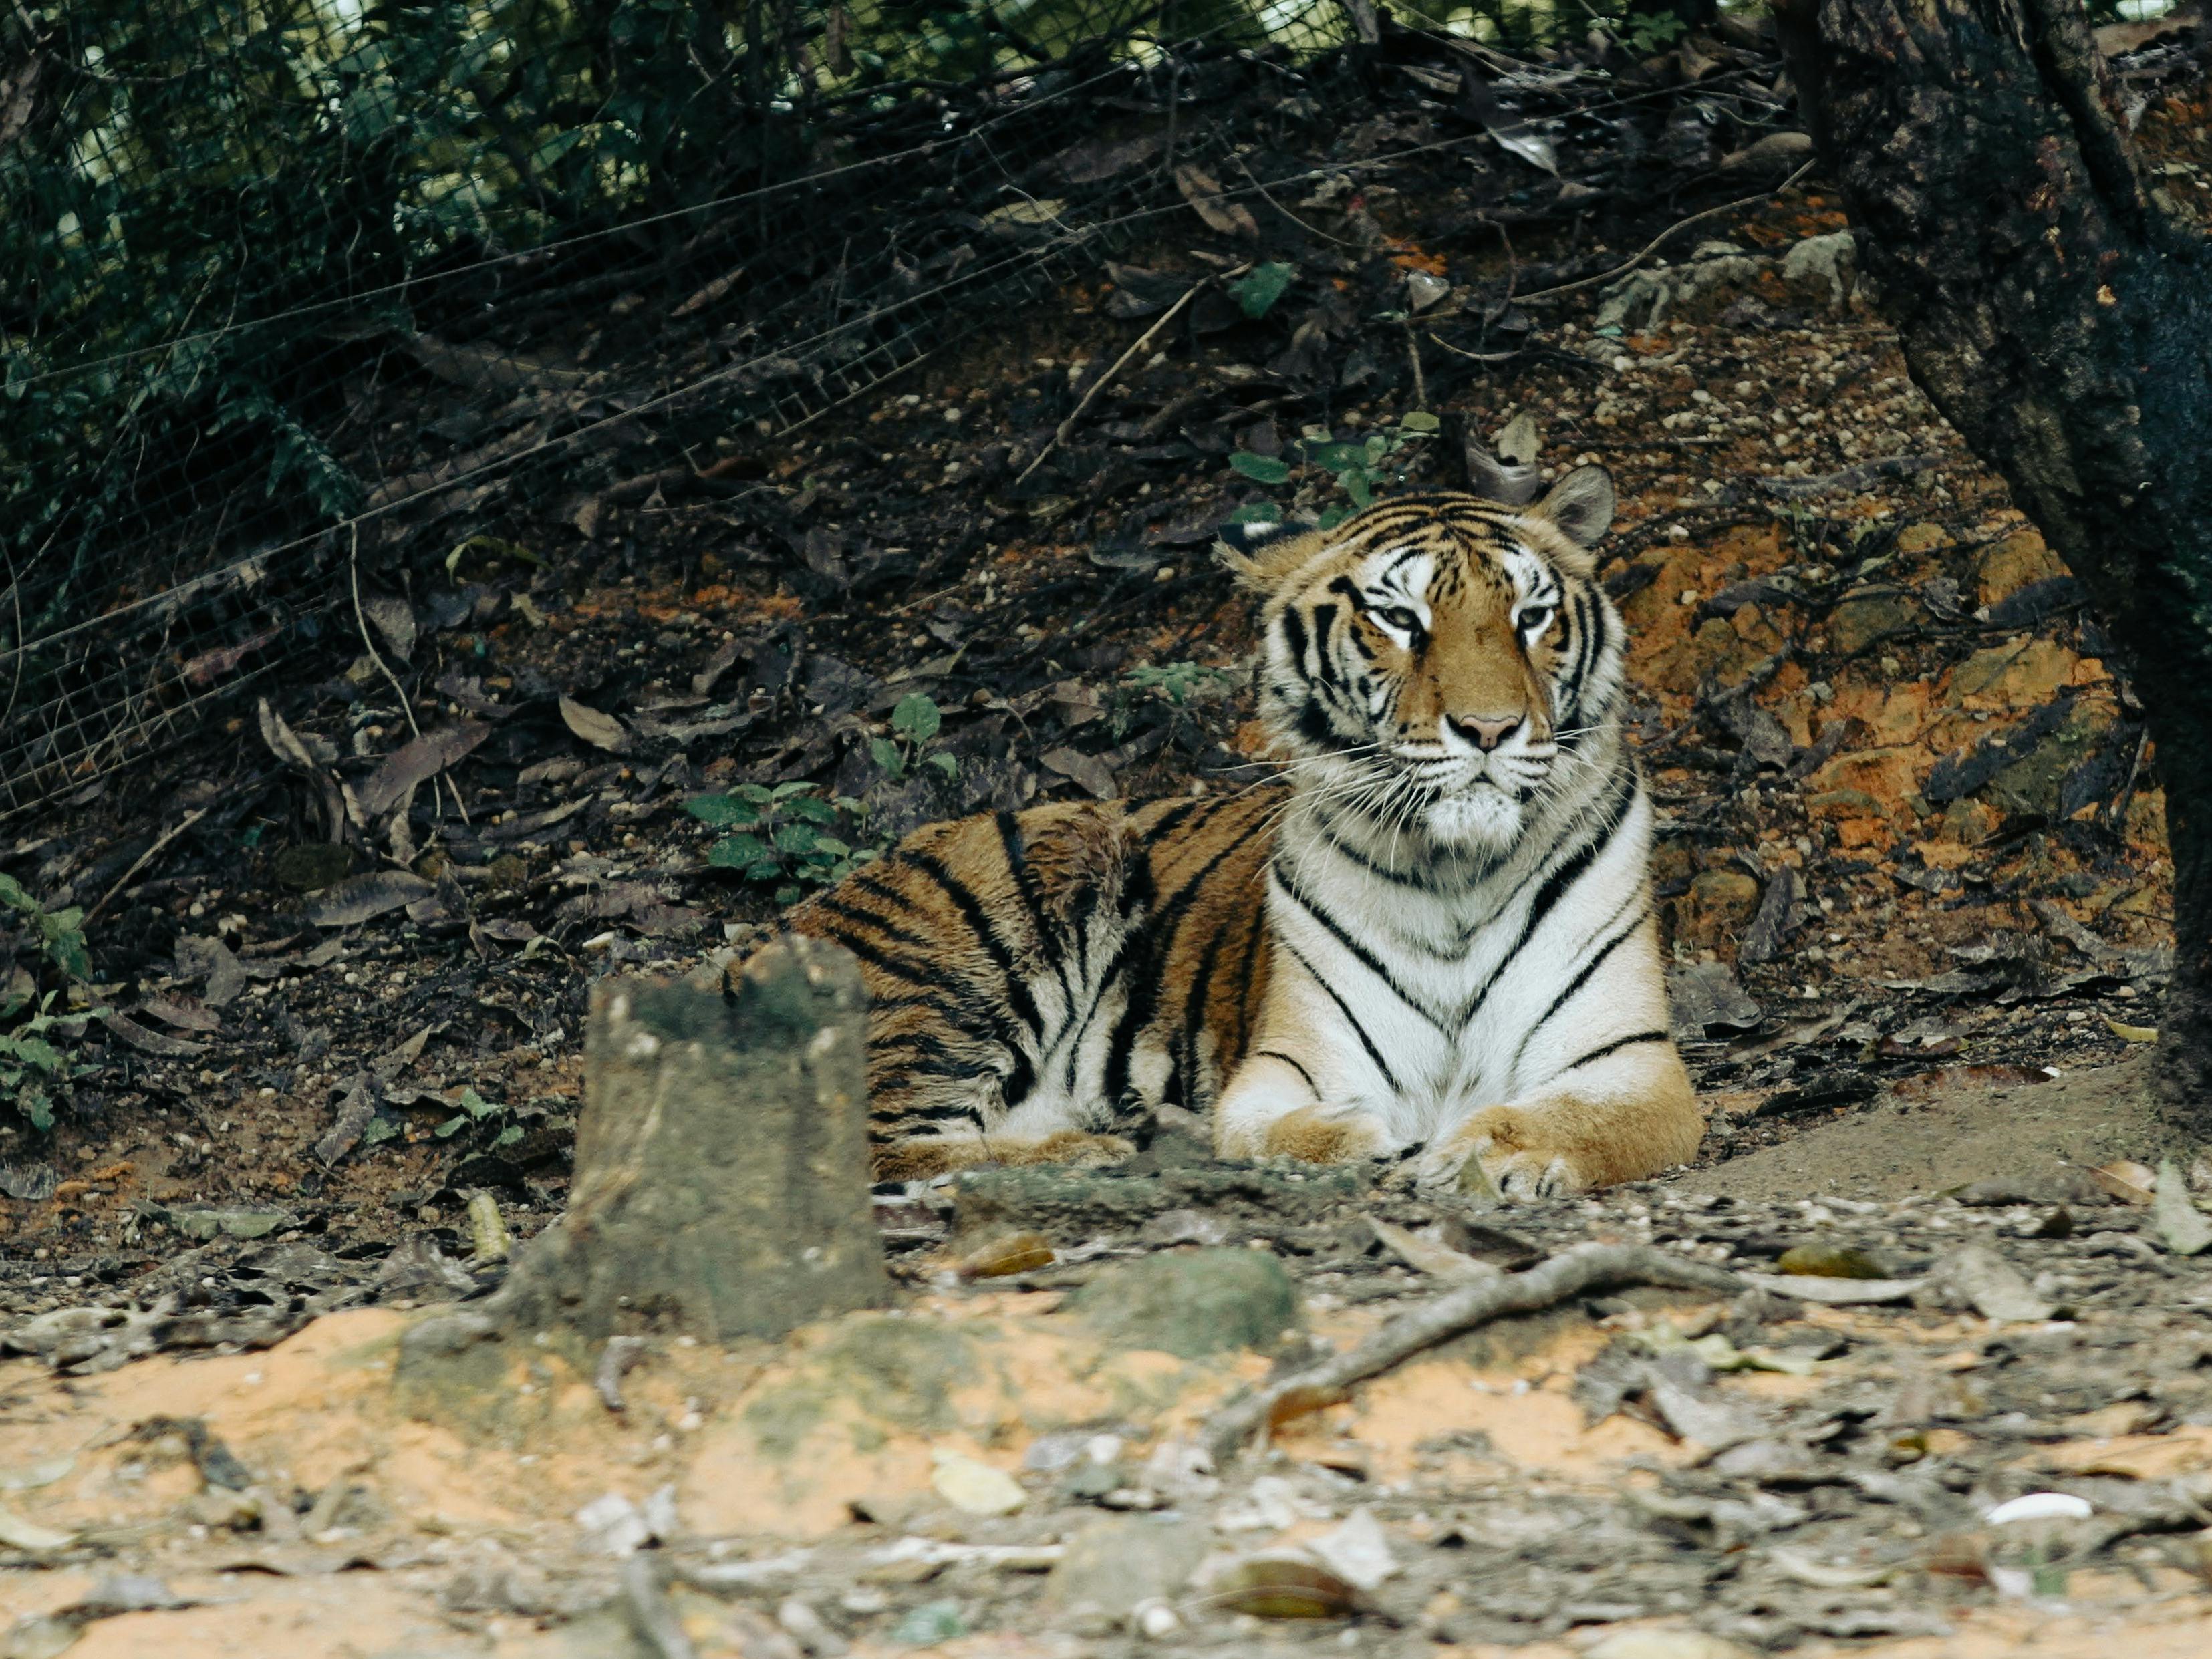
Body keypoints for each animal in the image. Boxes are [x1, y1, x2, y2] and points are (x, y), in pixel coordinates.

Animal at [781, 467, 1703, 1197]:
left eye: (1532, 616)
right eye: (1400, 620)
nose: (1489, 728)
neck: (1456, 876)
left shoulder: (1630, 1064)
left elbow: (1556, 1120)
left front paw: (1481, 1151)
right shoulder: (1293, 1061)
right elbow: (1266, 1126)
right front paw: (1364, 1136)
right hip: (957, 976)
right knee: (879, 1150)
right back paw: (1094, 1148)